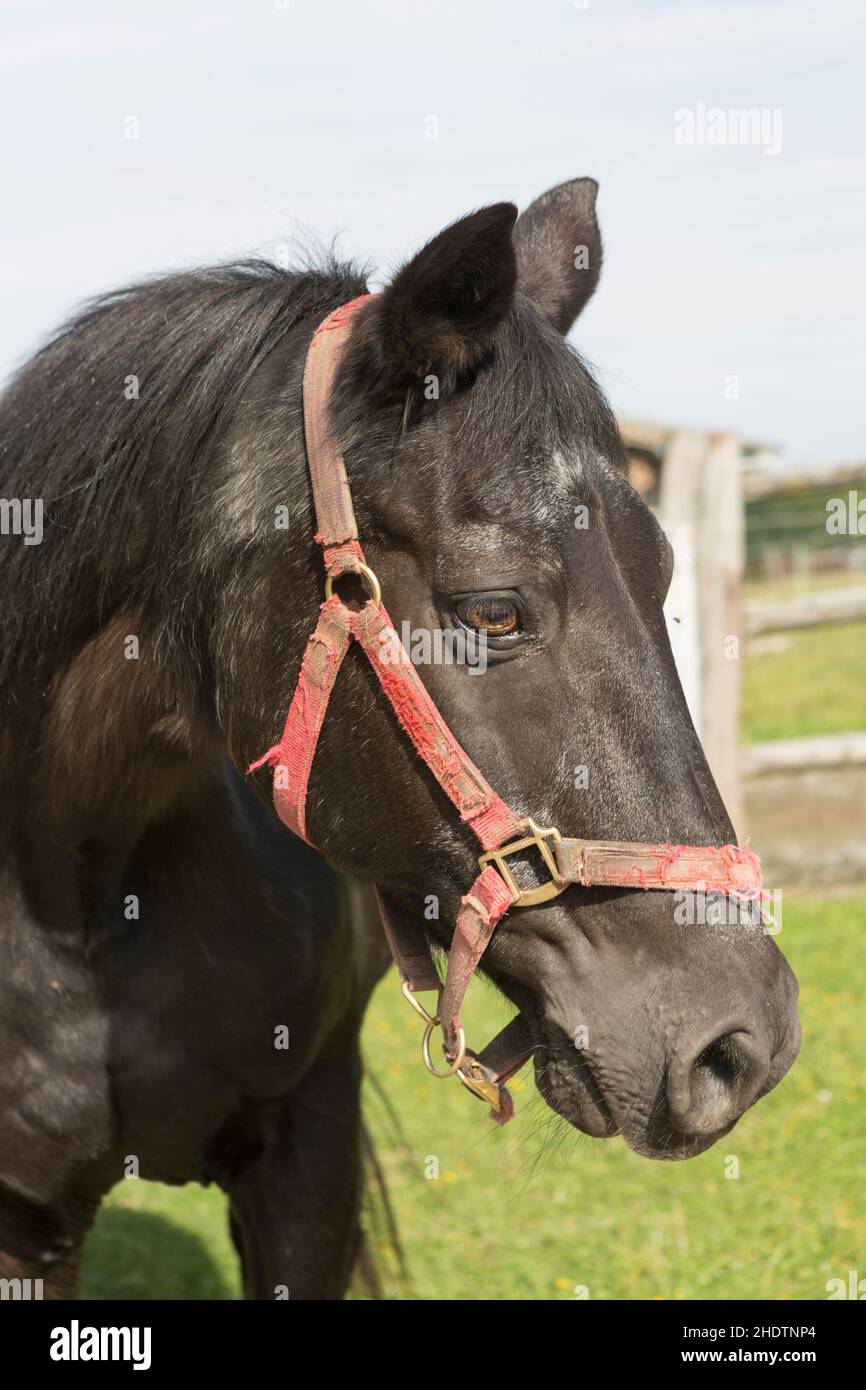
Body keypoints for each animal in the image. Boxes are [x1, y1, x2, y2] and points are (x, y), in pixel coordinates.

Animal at [0, 178, 800, 1300]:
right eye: (495, 610)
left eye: (664, 574)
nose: (740, 1043)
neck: (86, 909)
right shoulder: (24, 1220)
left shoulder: (308, 1153)